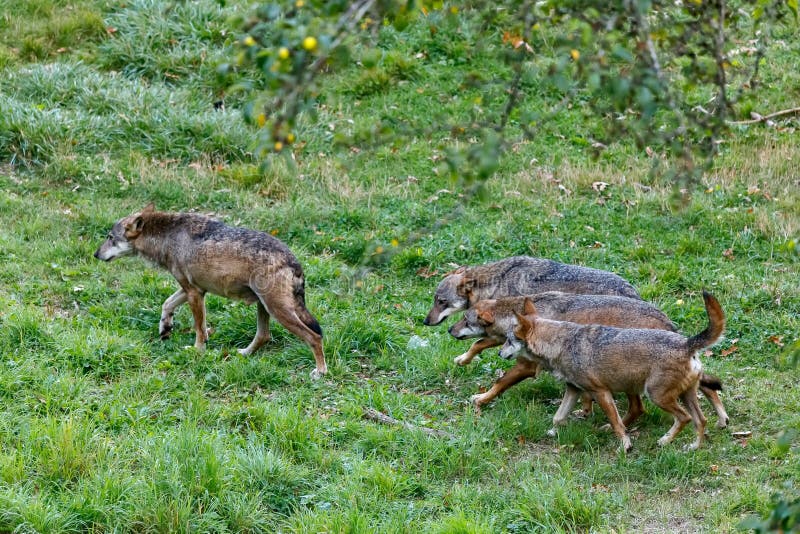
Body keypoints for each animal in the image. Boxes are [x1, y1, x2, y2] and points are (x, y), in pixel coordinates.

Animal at [94, 204, 327, 379]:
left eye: (110, 237)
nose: (96, 255)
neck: (167, 236)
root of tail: (294, 261)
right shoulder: (192, 289)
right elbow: (167, 304)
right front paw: (165, 328)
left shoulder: (194, 293)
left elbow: (199, 328)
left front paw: (198, 351)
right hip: (264, 307)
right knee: (264, 336)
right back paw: (243, 354)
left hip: (278, 310)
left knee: (314, 337)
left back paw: (320, 372)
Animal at [447, 292, 729, 428]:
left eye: (465, 320)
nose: (449, 329)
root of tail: (667, 321)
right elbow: (479, 343)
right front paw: (463, 358)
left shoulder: (526, 366)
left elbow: (499, 383)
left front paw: (481, 400)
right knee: (706, 387)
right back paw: (722, 420)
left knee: (642, 408)